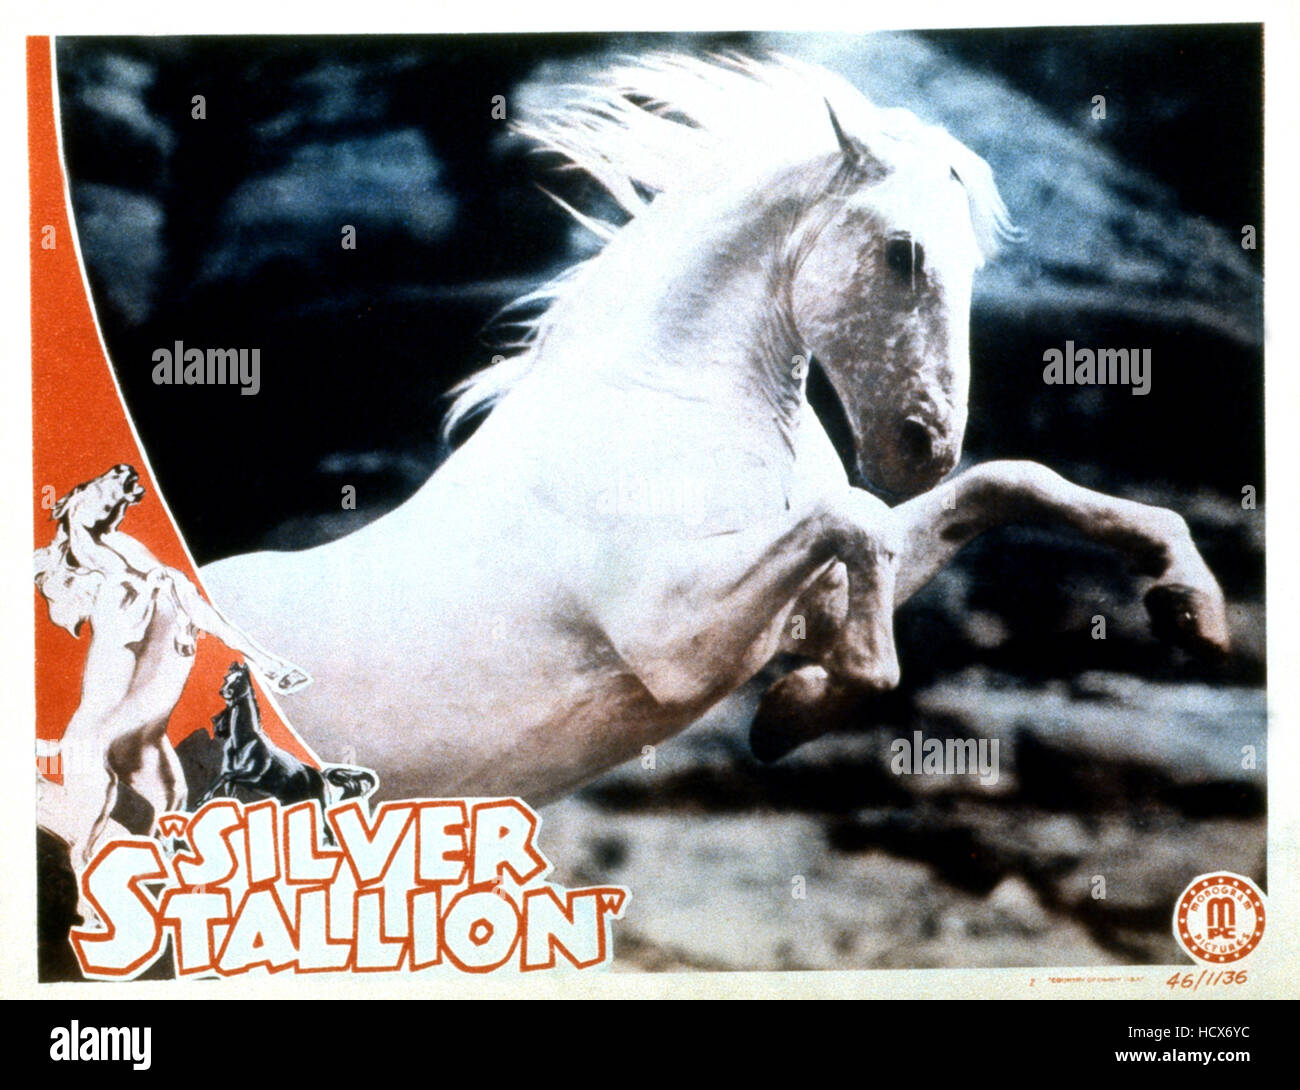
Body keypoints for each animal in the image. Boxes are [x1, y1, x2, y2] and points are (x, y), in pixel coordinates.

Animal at [34, 464, 313, 874]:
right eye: (85, 484)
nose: (123, 467)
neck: (113, 557)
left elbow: (202, 607)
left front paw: (283, 675)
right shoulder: (126, 622)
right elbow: (161, 579)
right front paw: (182, 634)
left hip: (166, 790)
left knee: (158, 833)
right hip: (97, 794)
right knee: (83, 852)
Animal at [198, 662, 378, 822]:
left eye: (238, 679)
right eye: (226, 677)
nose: (223, 691)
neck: (242, 742)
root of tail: (321, 775)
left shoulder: (252, 776)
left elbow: (225, 775)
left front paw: (201, 800)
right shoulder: (232, 783)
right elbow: (226, 783)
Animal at [199, 54, 1229, 805]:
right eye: (903, 252)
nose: (924, 447)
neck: (674, 400)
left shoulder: (799, 599)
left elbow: (1005, 484)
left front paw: (1191, 606)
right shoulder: (677, 641)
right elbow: (860, 524)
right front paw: (809, 705)